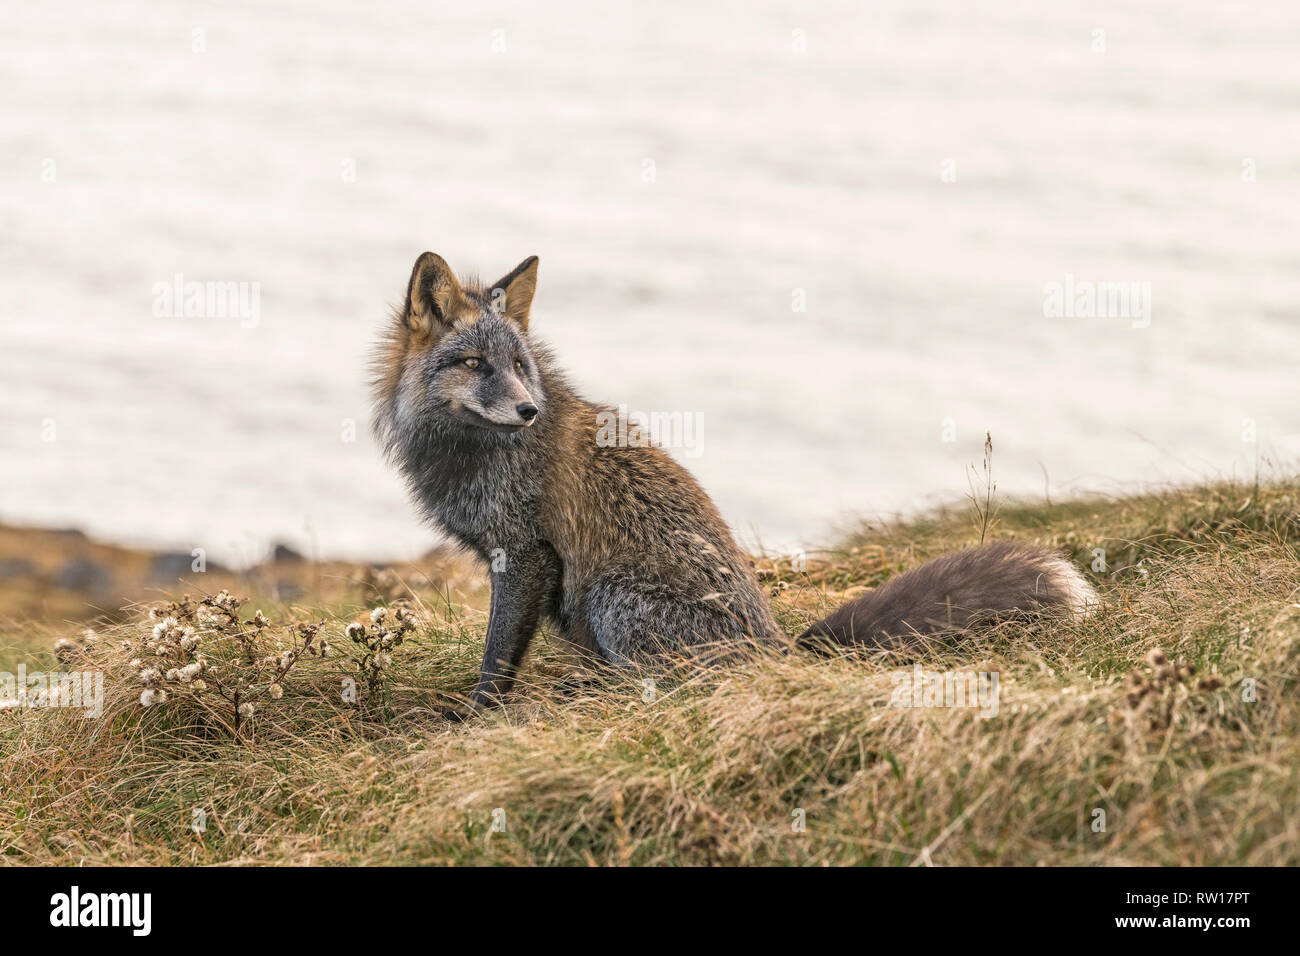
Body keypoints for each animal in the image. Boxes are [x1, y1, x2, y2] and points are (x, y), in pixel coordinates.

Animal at [371, 251, 1097, 711]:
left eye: (520, 367)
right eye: (474, 363)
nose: (527, 410)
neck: (471, 457)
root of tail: (776, 651)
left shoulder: (525, 556)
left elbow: (496, 658)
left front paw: (476, 718)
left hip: (611, 595)